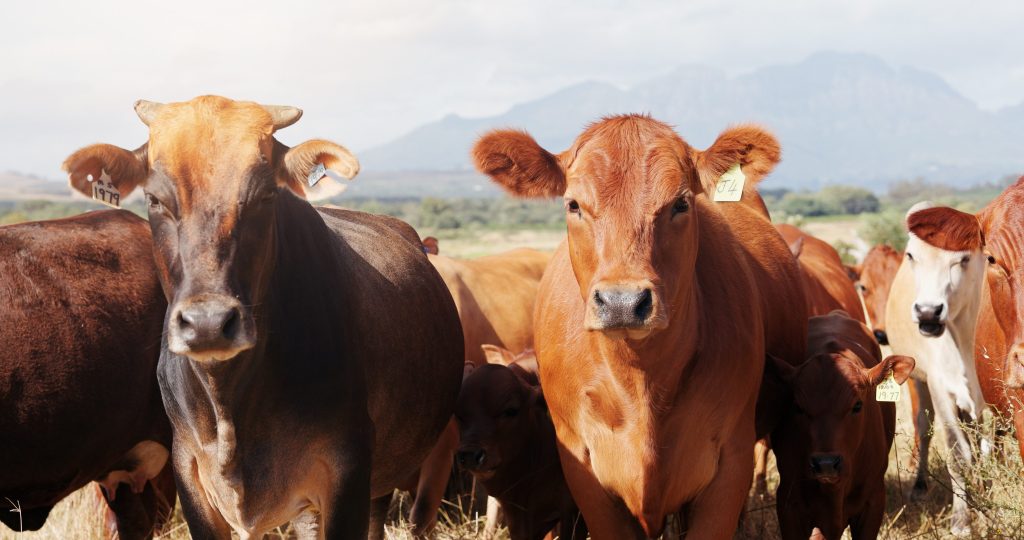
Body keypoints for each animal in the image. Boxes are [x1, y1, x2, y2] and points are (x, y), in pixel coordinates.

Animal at [62, 95, 464, 539]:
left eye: (266, 195)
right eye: (154, 199)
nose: (208, 324)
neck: (229, 404)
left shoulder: (348, 472)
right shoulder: (190, 475)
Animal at [472, 116, 808, 539]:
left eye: (681, 203)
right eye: (573, 204)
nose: (623, 302)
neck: (640, 382)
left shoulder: (730, 464)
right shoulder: (583, 470)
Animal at [885, 202, 988, 536]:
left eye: (963, 259)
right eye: (911, 255)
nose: (928, 311)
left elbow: (984, 452)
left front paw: (987, 501)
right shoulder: (940, 388)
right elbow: (958, 454)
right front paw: (962, 521)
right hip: (918, 380)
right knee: (923, 425)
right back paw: (919, 485)